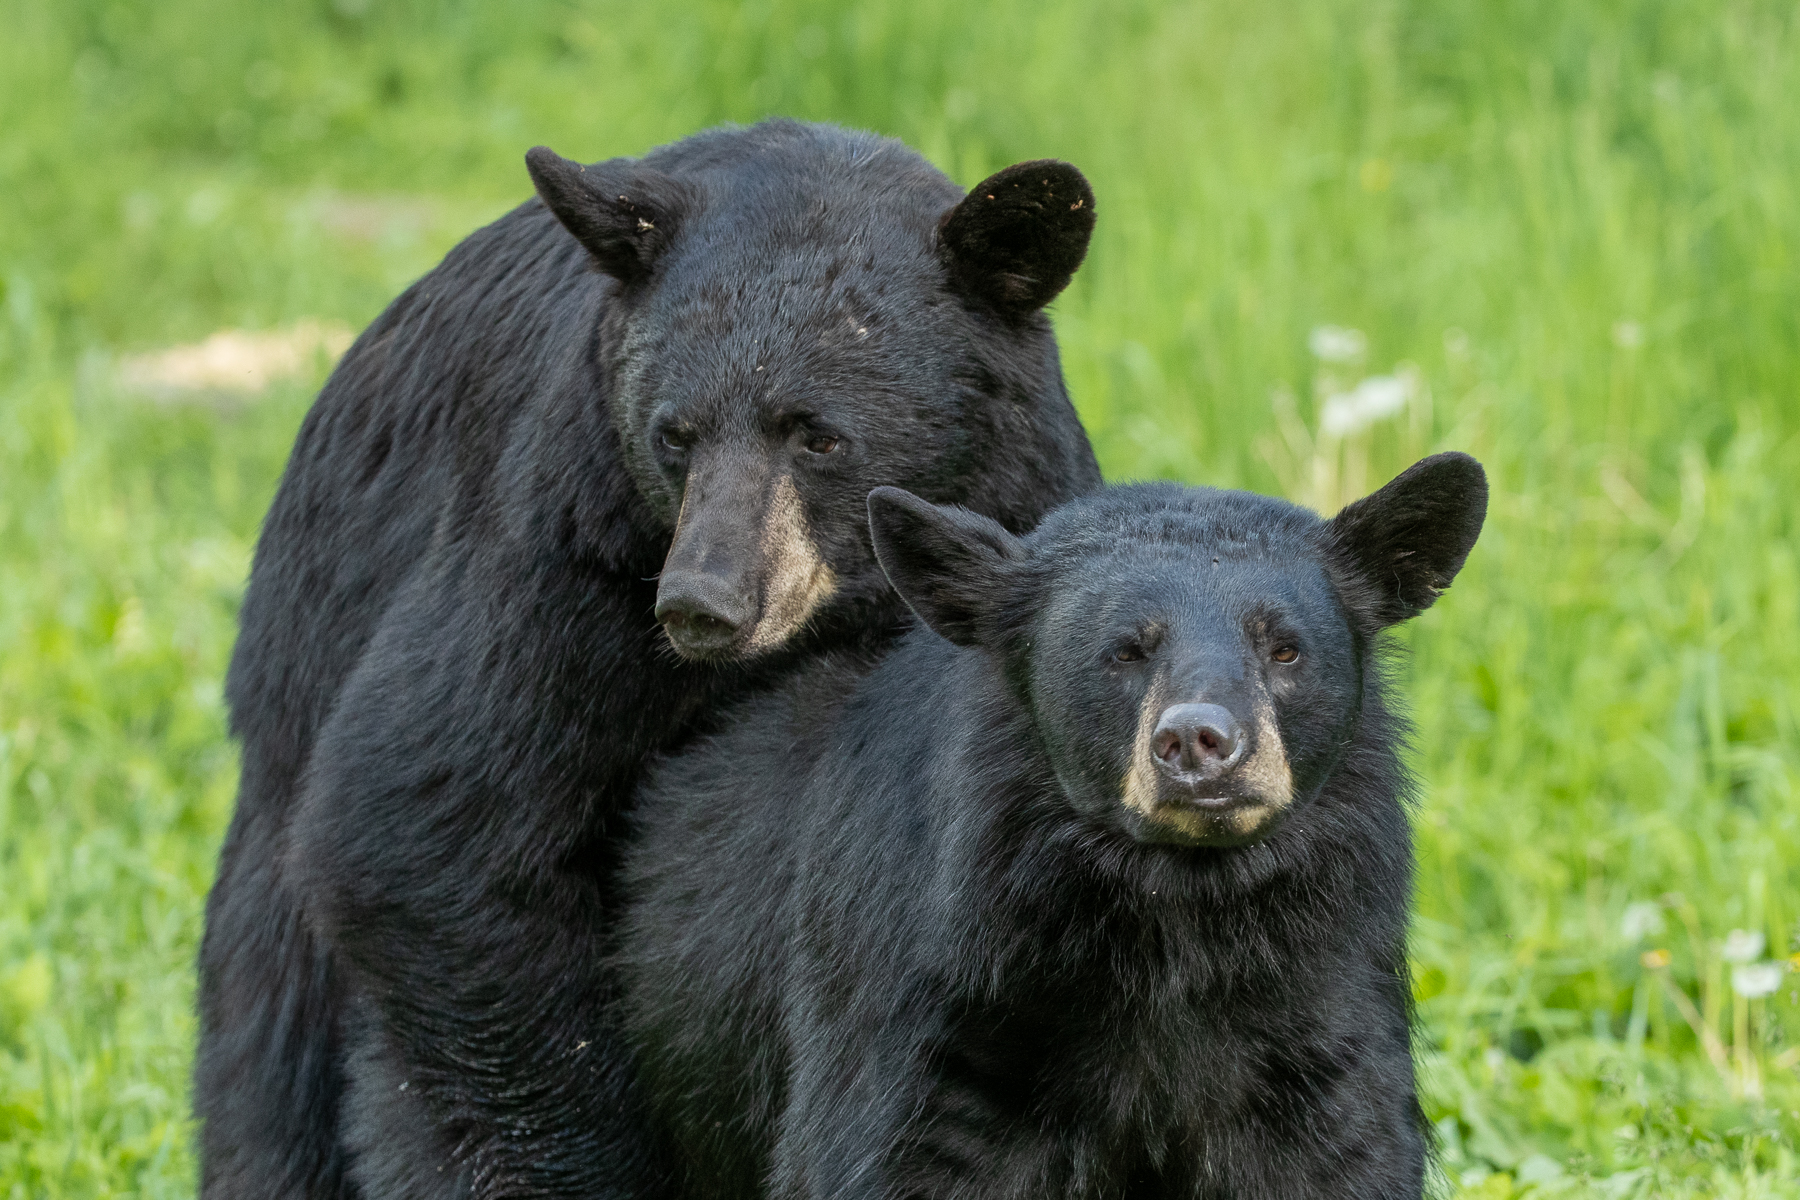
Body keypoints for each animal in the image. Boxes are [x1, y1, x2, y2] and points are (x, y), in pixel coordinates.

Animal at [194, 119, 1103, 1199]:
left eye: (818, 436)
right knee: (273, 1049)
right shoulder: (565, 545)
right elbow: (427, 816)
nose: (704, 601)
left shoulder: (1013, 511)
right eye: (677, 433)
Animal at [619, 452, 1489, 1200]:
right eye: (1124, 651)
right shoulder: (933, 1004)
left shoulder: (1317, 1002)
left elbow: (1340, 1154)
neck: (1178, 918)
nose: (1198, 742)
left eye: (1284, 648)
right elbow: (893, 1155)